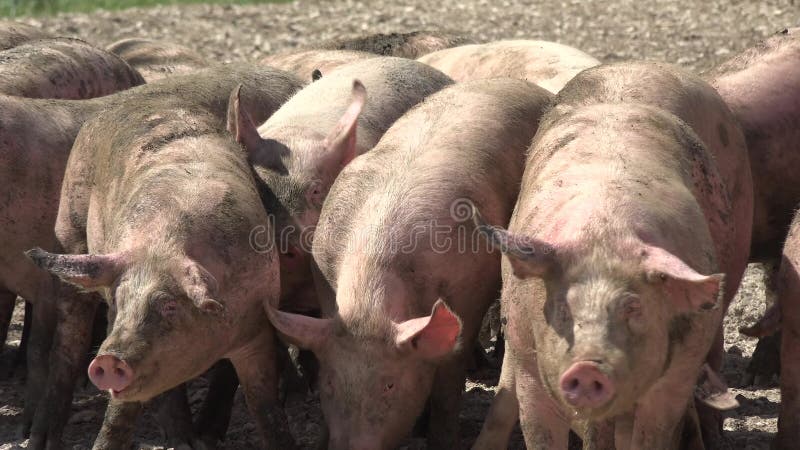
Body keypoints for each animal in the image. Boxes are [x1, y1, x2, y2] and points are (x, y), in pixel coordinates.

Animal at [3, 65, 302, 450]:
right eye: (119, 301)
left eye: (170, 305)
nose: (108, 361)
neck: (161, 248)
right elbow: (119, 413)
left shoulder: (258, 324)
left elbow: (263, 406)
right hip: (71, 232)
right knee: (66, 348)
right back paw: (37, 440)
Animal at [259, 79, 552, 448]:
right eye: (329, 384)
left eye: (389, 385)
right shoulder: (325, 288)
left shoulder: (469, 296)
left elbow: (447, 384)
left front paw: (439, 438)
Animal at [472, 61, 752, 449]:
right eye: (562, 309)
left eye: (633, 307)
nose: (588, 367)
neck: (603, 234)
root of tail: (635, 64)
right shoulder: (528, 362)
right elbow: (540, 431)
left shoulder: (676, 379)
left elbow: (653, 434)